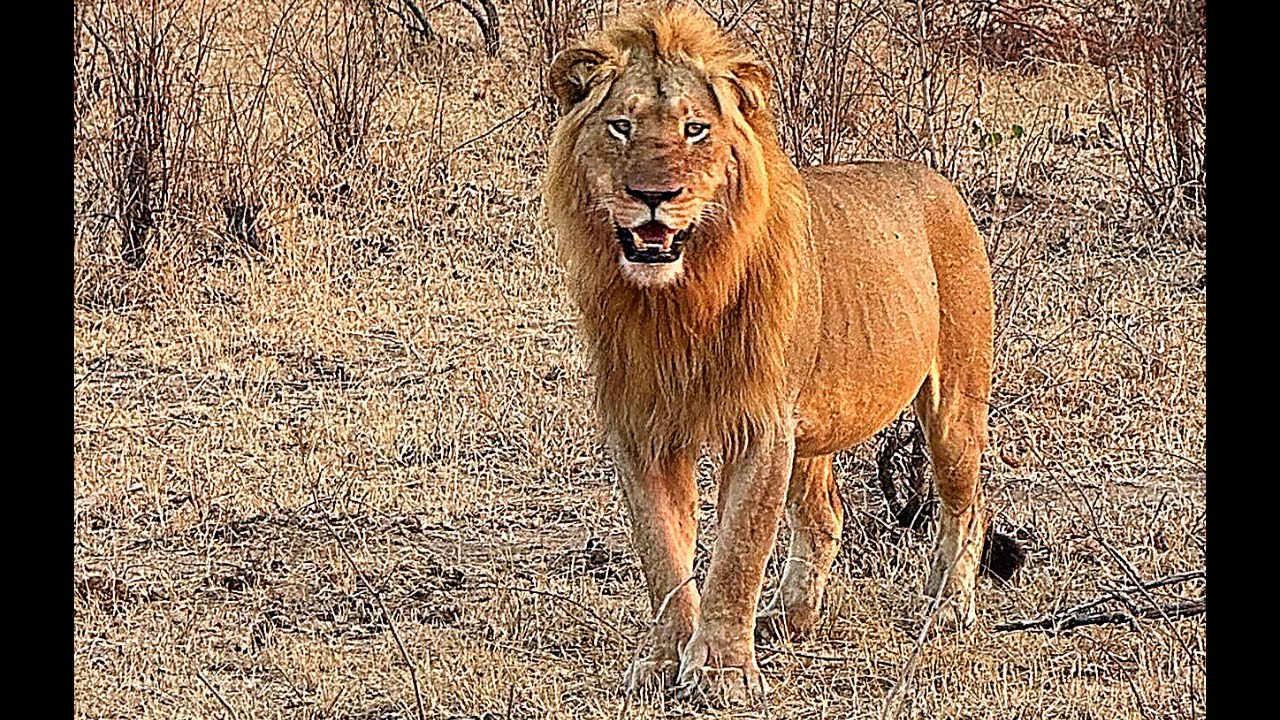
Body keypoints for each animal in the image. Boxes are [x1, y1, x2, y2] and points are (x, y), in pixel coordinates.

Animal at [545, 3, 997, 699]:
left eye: (695, 130)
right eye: (621, 126)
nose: (653, 197)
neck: (677, 302)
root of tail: (935, 179)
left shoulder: (760, 425)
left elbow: (738, 551)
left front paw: (721, 670)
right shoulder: (643, 426)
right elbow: (662, 551)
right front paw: (665, 659)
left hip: (952, 407)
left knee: (967, 507)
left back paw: (947, 608)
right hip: (810, 428)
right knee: (826, 516)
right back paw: (791, 617)